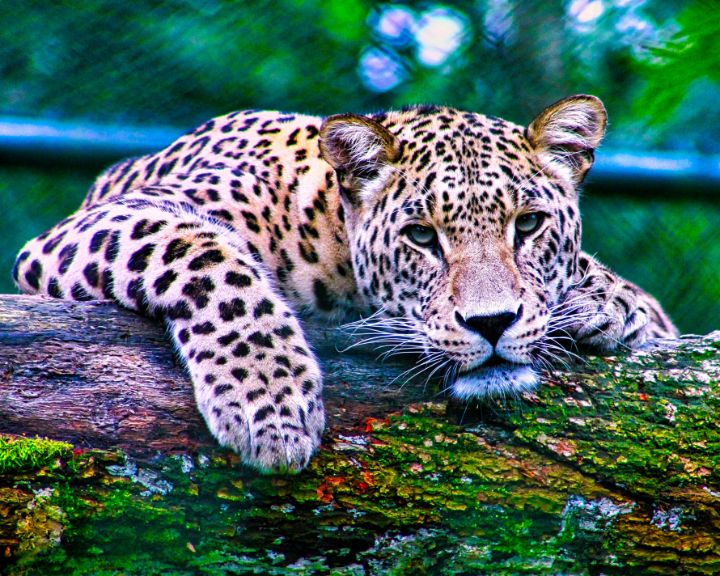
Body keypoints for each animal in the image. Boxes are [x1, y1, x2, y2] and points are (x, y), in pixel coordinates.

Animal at [13, 94, 678, 472]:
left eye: (530, 225)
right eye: (421, 236)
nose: (491, 324)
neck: (327, 231)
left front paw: (610, 300)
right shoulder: (95, 225)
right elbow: (206, 256)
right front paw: (270, 403)